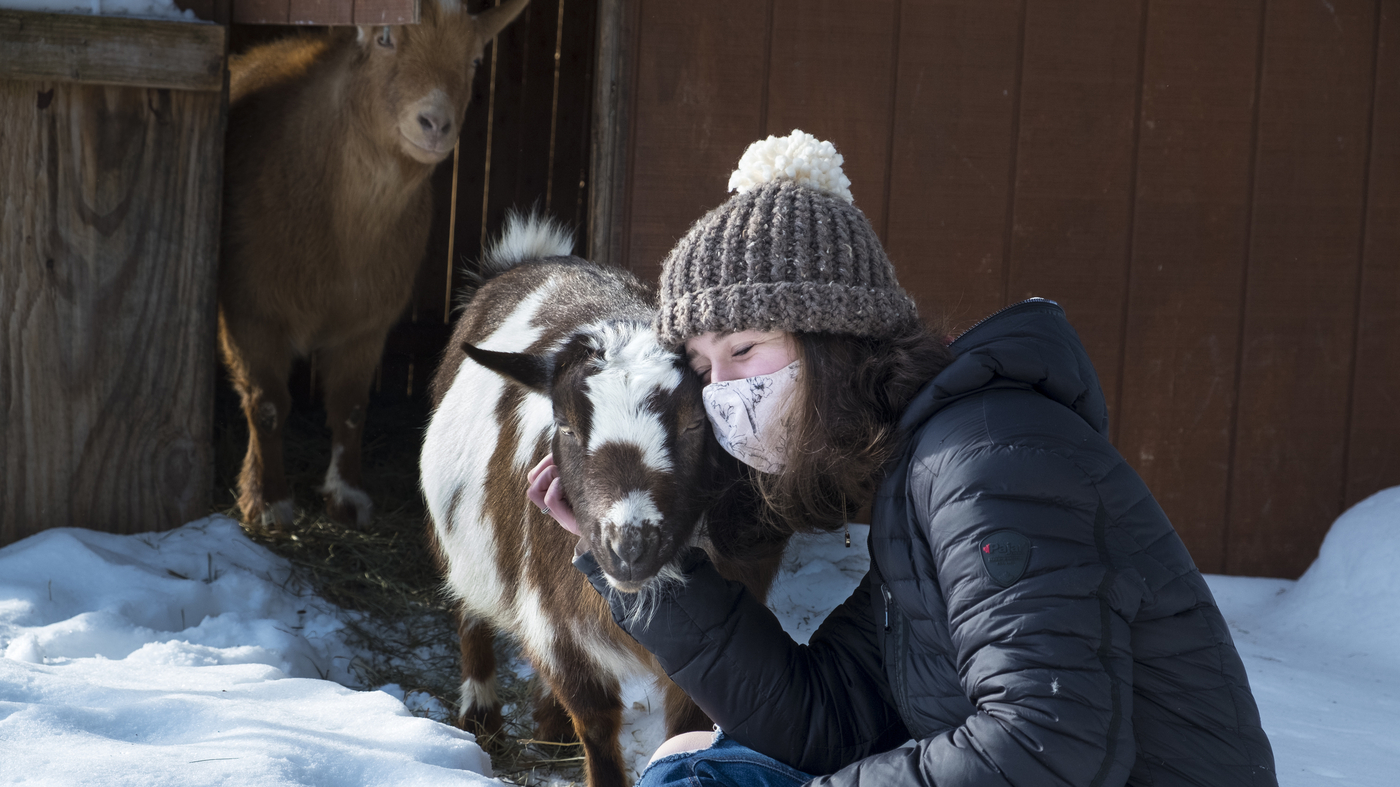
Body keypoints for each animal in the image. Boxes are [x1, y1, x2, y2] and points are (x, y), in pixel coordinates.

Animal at [219, 0, 529, 528]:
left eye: (474, 59)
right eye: (386, 38)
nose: (435, 123)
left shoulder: (366, 323)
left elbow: (350, 407)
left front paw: (348, 496)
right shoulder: (250, 312)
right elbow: (267, 404)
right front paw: (267, 500)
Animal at [421, 215, 788, 787]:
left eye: (695, 424)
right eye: (567, 427)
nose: (629, 547)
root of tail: (528, 259)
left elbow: (689, 719)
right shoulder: (552, 619)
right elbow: (595, 717)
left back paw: (548, 731)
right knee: (470, 610)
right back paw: (483, 719)